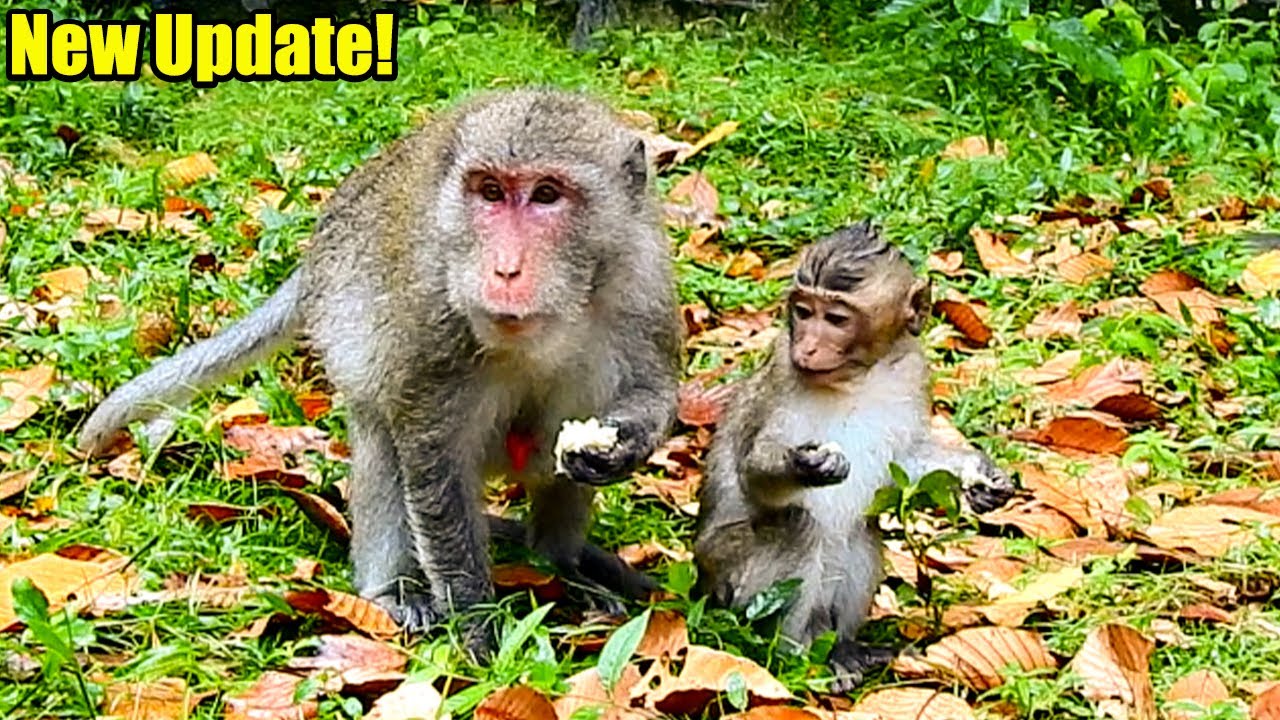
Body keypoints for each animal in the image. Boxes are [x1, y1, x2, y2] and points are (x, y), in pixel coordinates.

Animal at [78, 89, 681, 654]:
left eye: (547, 195)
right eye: (490, 192)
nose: (505, 270)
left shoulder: (644, 284)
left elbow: (652, 388)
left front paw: (622, 443)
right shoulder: (431, 316)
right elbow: (432, 462)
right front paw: (480, 637)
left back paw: (560, 565)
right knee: (382, 442)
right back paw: (393, 590)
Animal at [694, 222, 1014, 692]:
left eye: (837, 319)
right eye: (803, 312)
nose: (807, 348)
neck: (857, 378)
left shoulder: (912, 371)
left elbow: (906, 458)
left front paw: (980, 477)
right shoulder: (781, 377)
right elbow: (755, 474)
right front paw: (802, 464)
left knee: (862, 533)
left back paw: (845, 649)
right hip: (724, 581)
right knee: (799, 527)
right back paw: (801, 659)